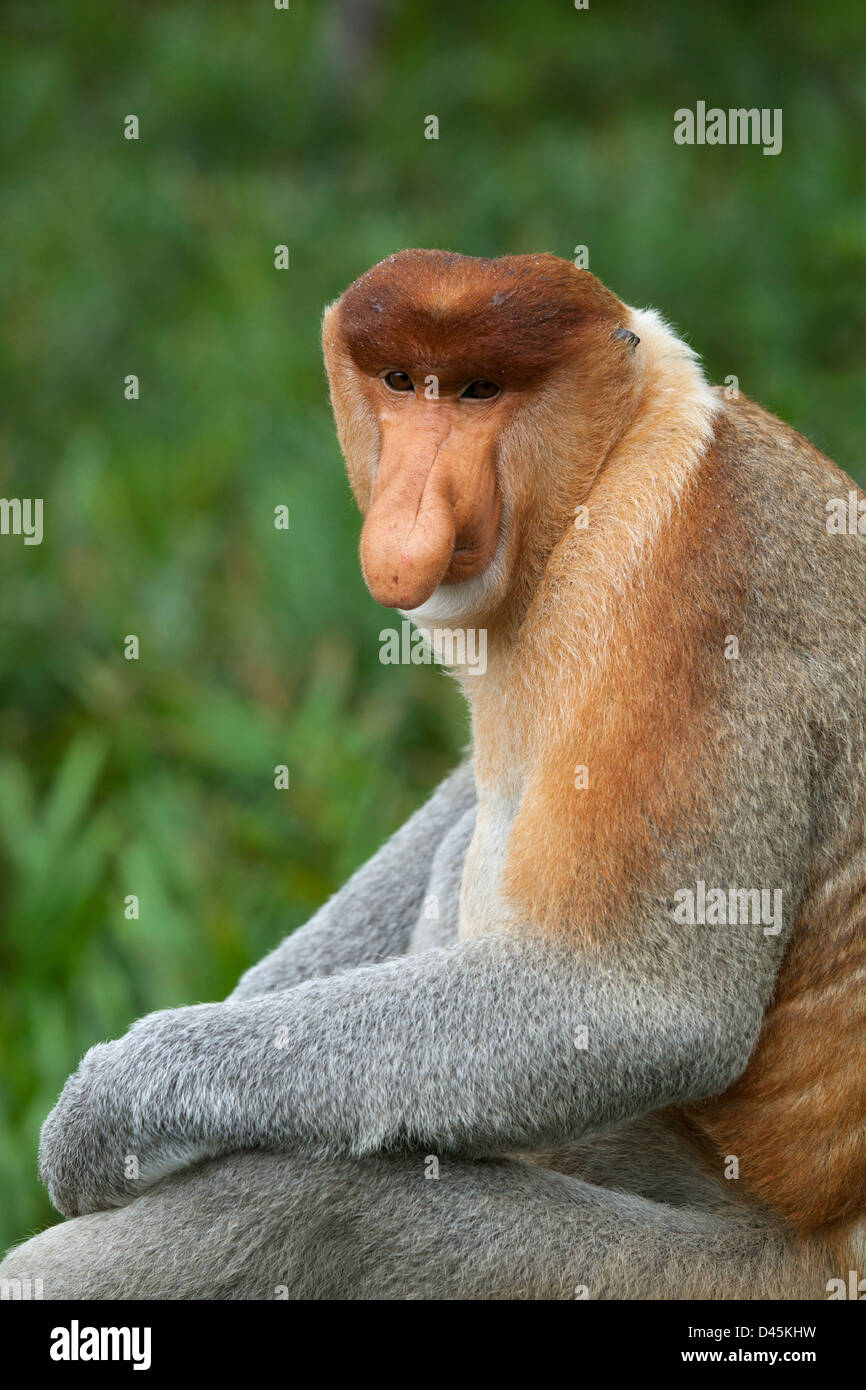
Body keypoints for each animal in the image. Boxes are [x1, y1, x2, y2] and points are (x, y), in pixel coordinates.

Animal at [2, 250, 864, 1301]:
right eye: (403, 383)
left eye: (482, 392)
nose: (408, 511)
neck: (613, 463)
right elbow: (465, 796)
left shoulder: (700, 594)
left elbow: (638, 1008)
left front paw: (111, 1108)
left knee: (308, 1205)